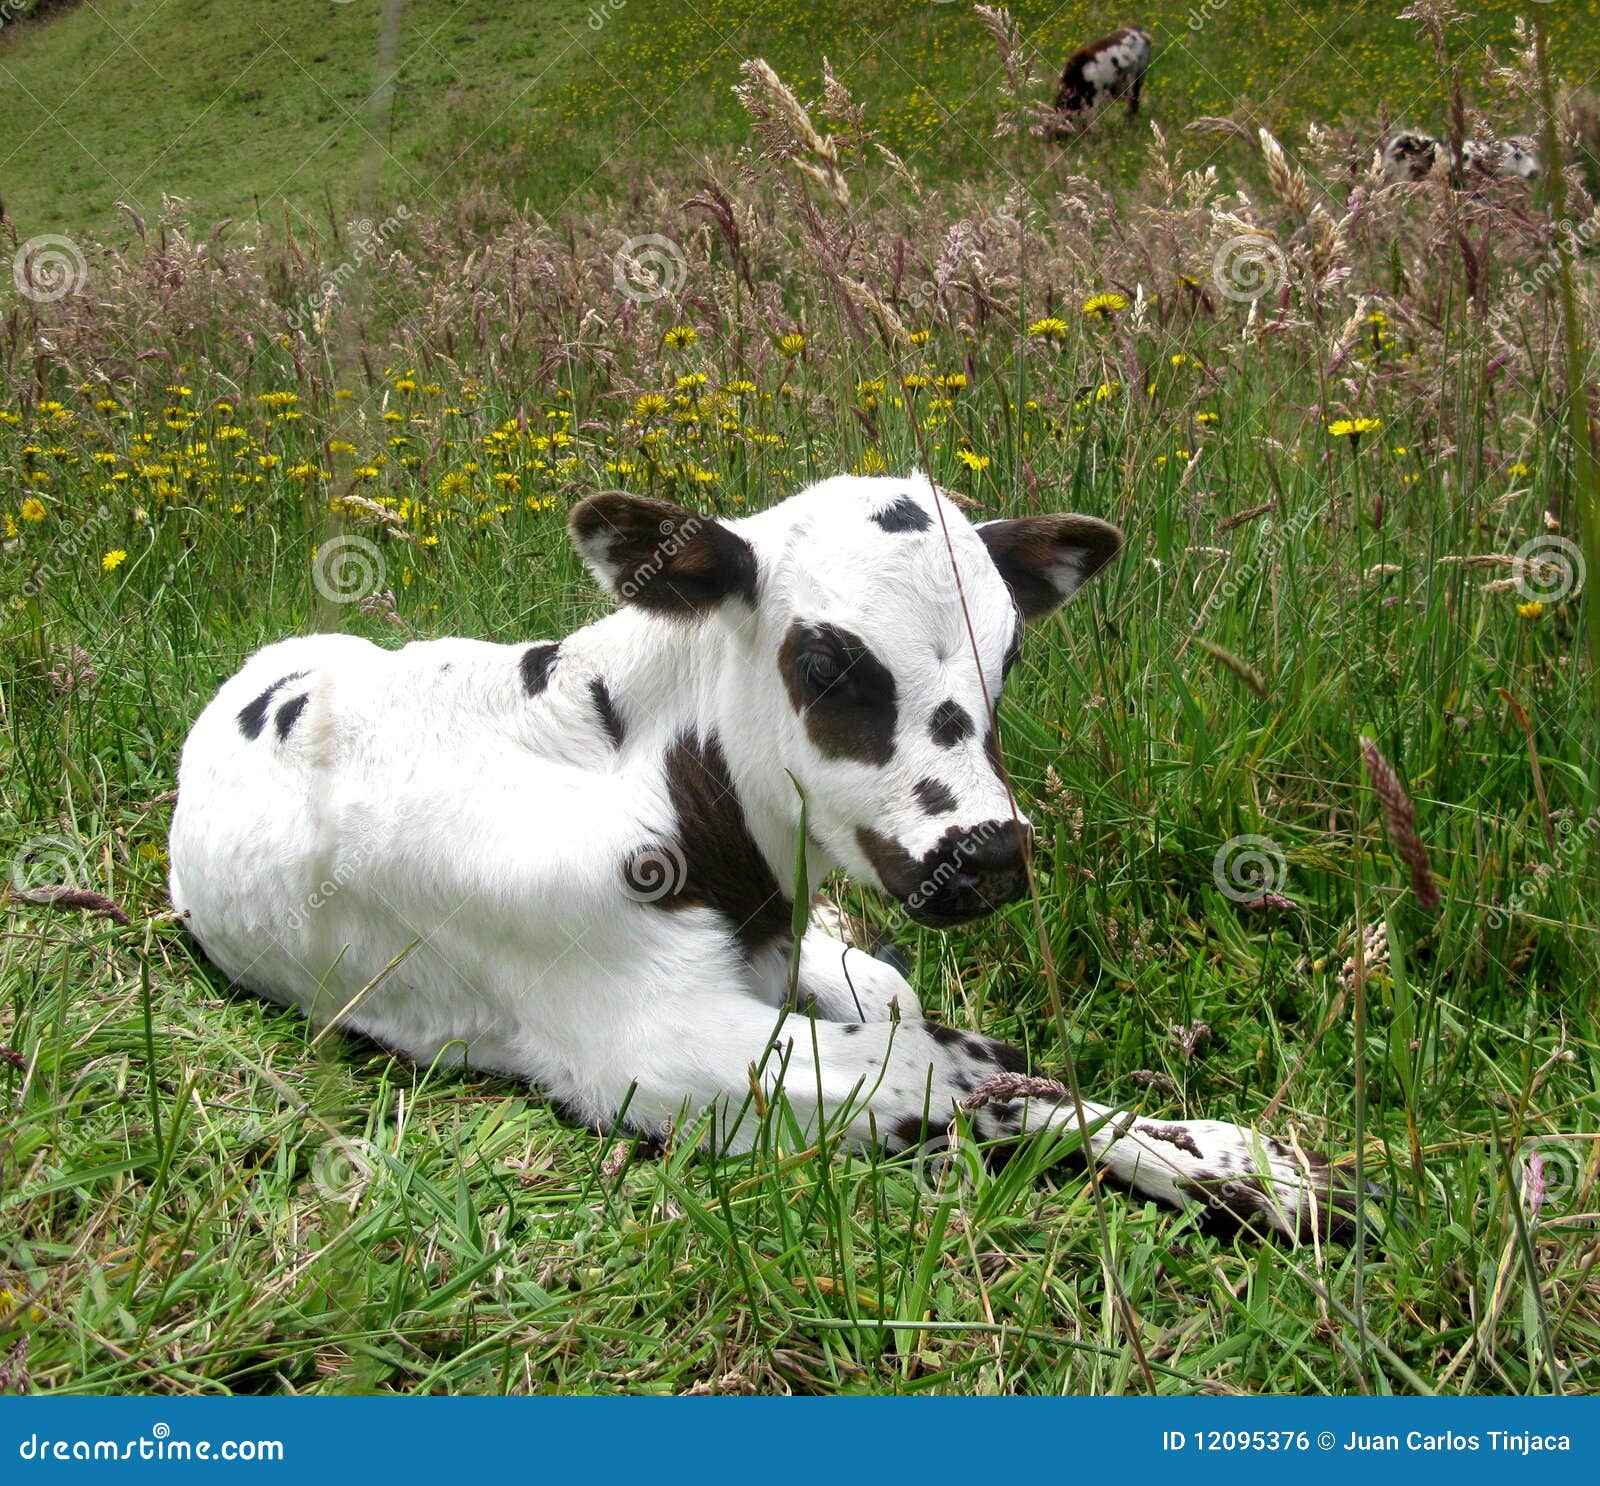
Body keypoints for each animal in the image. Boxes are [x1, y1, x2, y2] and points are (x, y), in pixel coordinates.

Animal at [169, 473, 1360, 1242]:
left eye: (1012, 654)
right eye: (826, 662)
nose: (985, 854)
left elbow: (938, 1035)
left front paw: (1257, 1168)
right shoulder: (646, 1048)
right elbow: (942, 1074)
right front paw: (1255, 1177)